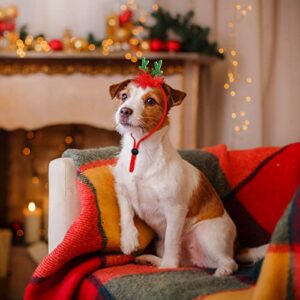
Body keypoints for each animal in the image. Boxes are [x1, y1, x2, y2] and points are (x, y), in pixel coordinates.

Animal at [110, 77, 268, 276]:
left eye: (150, 101)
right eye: (124, 96)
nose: (124, 110)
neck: (140, 150)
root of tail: (236, 246)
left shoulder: (175, 209)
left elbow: (172, 240)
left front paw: (167, 267)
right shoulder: (123, 192)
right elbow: (126, 216)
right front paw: (129, 240)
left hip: (206, 235)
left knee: (229, 262)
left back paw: (220, 271)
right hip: (164, 245)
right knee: (182, 260)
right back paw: (151, 260)